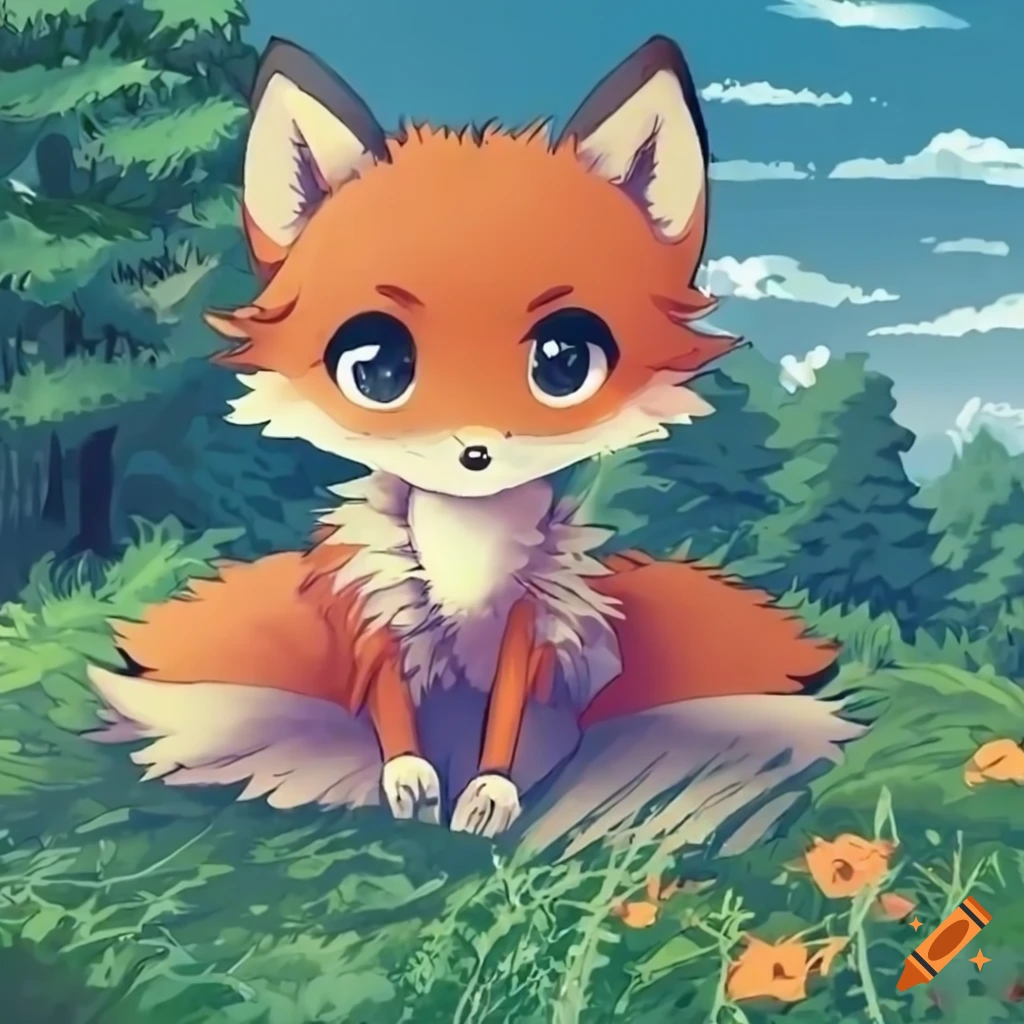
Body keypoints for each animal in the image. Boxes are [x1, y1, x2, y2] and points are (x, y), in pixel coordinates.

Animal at [87, 35, 860, 856]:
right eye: (378, 365)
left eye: (564, 360)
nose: (475, 455)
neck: (467, 554)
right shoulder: (378, 614)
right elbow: (390, 704)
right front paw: (409, 783)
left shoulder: (531, 624)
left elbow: (510, 716)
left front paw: (490, 798)